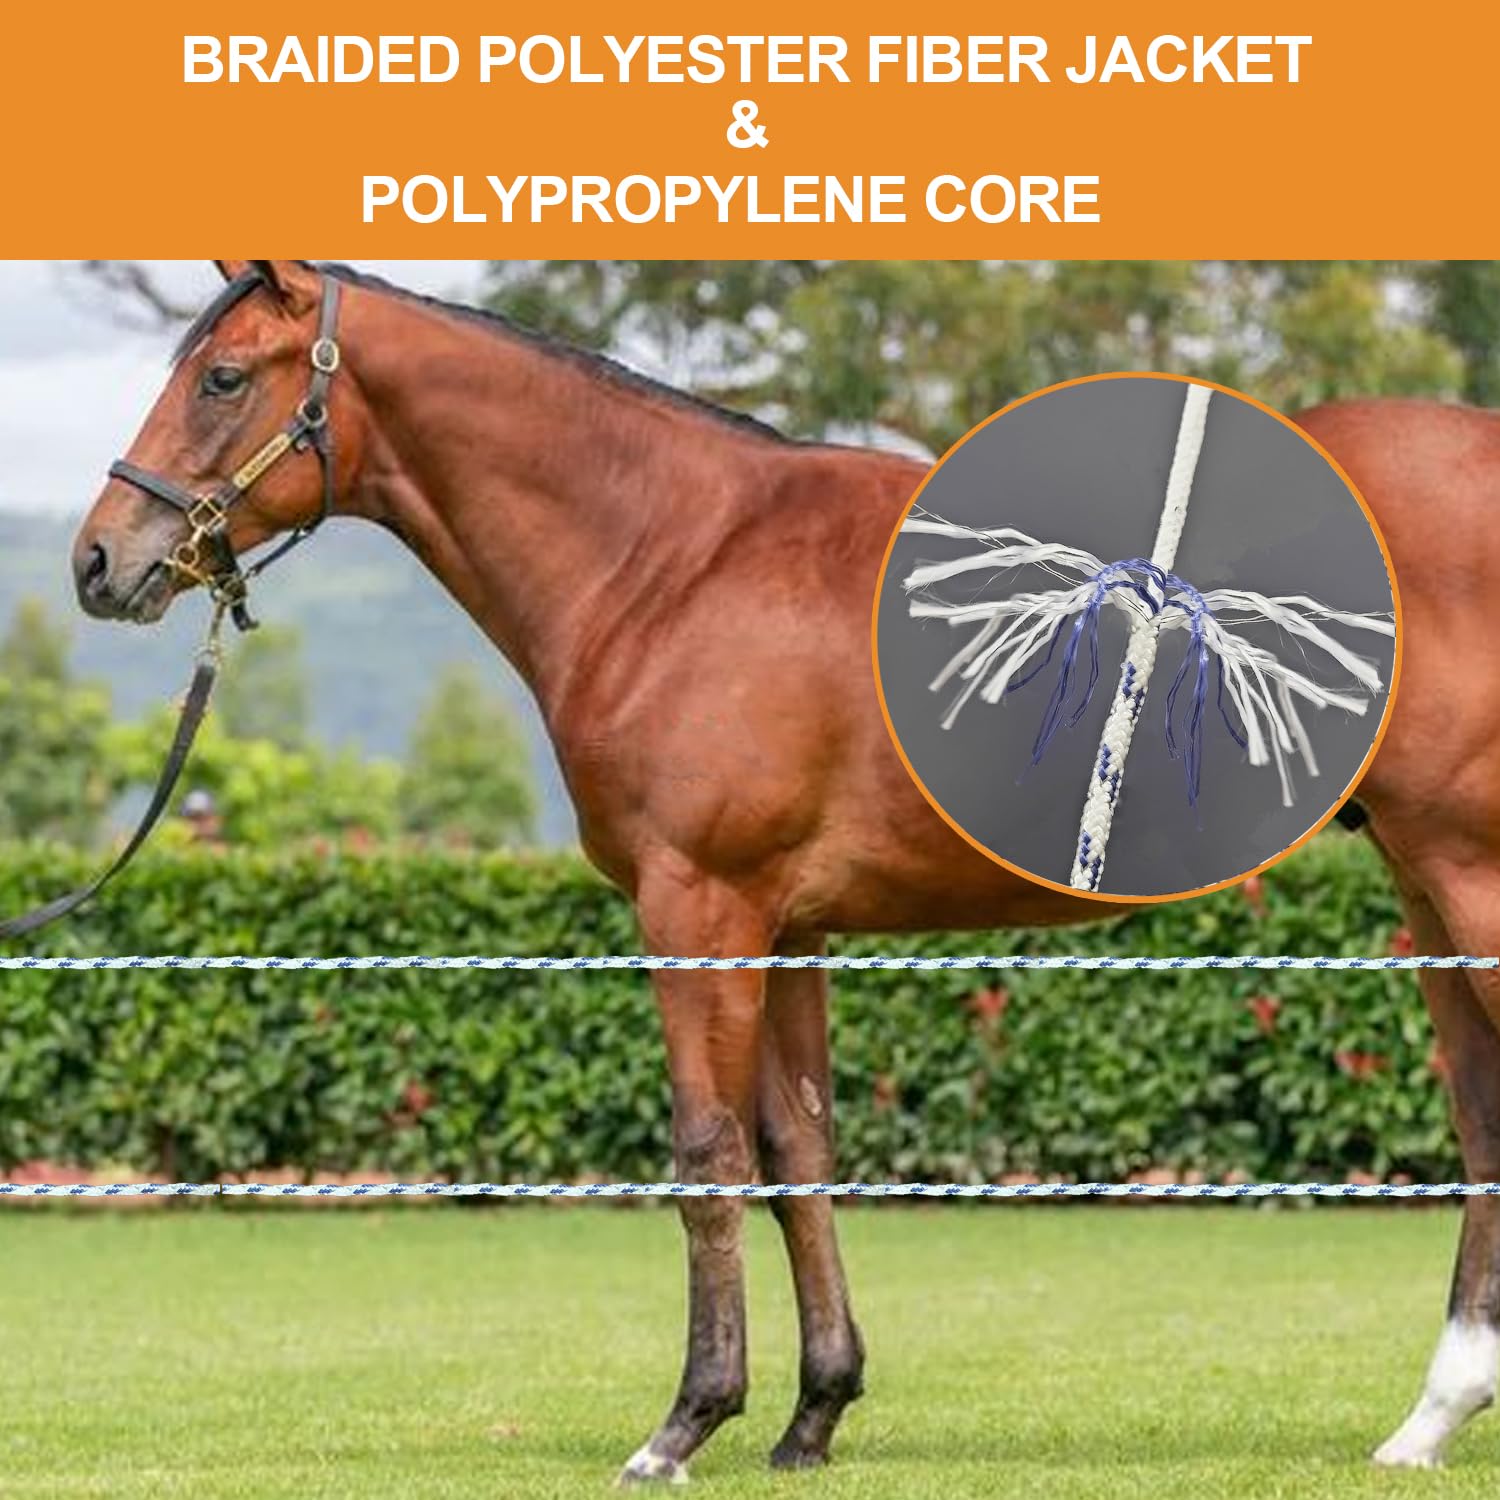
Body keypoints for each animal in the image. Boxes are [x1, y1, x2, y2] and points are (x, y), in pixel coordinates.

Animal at [68, 259, 1499, 1478]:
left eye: (223, 378)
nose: (100, 560)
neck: (676, 560)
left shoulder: (697, 903)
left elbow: (707, 1150)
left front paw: (687, 1421)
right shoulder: (788, 923)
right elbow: (797, 1144)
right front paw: (815, 1412)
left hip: (1465, 872)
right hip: (1422, 887)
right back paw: (1431, 1419)